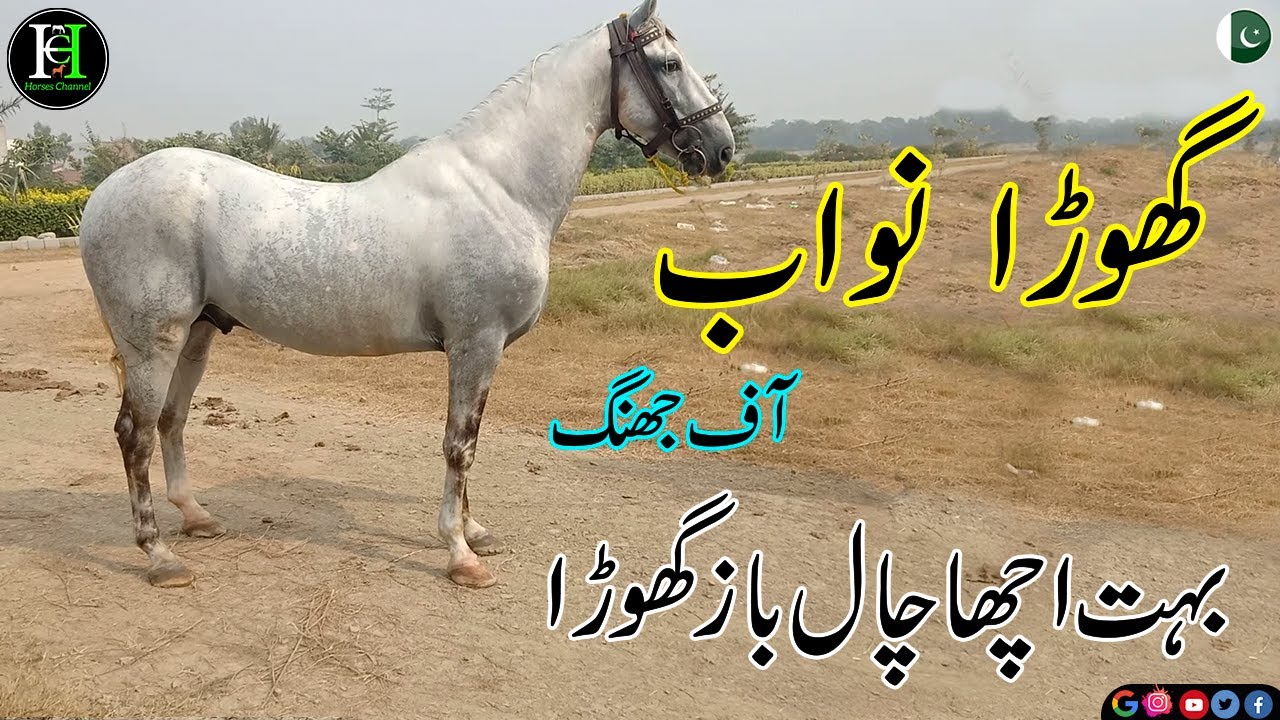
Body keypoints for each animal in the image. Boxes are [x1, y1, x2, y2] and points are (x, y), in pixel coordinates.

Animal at [79, 0, 735, 590]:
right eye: (670, 63)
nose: (722, 147)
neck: (499, 188)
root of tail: (104, 194)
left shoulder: (478, 350)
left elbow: (469, 442)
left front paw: (475, 533)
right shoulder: (477, 344)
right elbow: (459, 446)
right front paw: (460, 555)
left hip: (197, 333)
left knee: (172, 420)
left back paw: (196, 518)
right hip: (153, 343)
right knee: (135, 433)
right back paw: (159, 556)